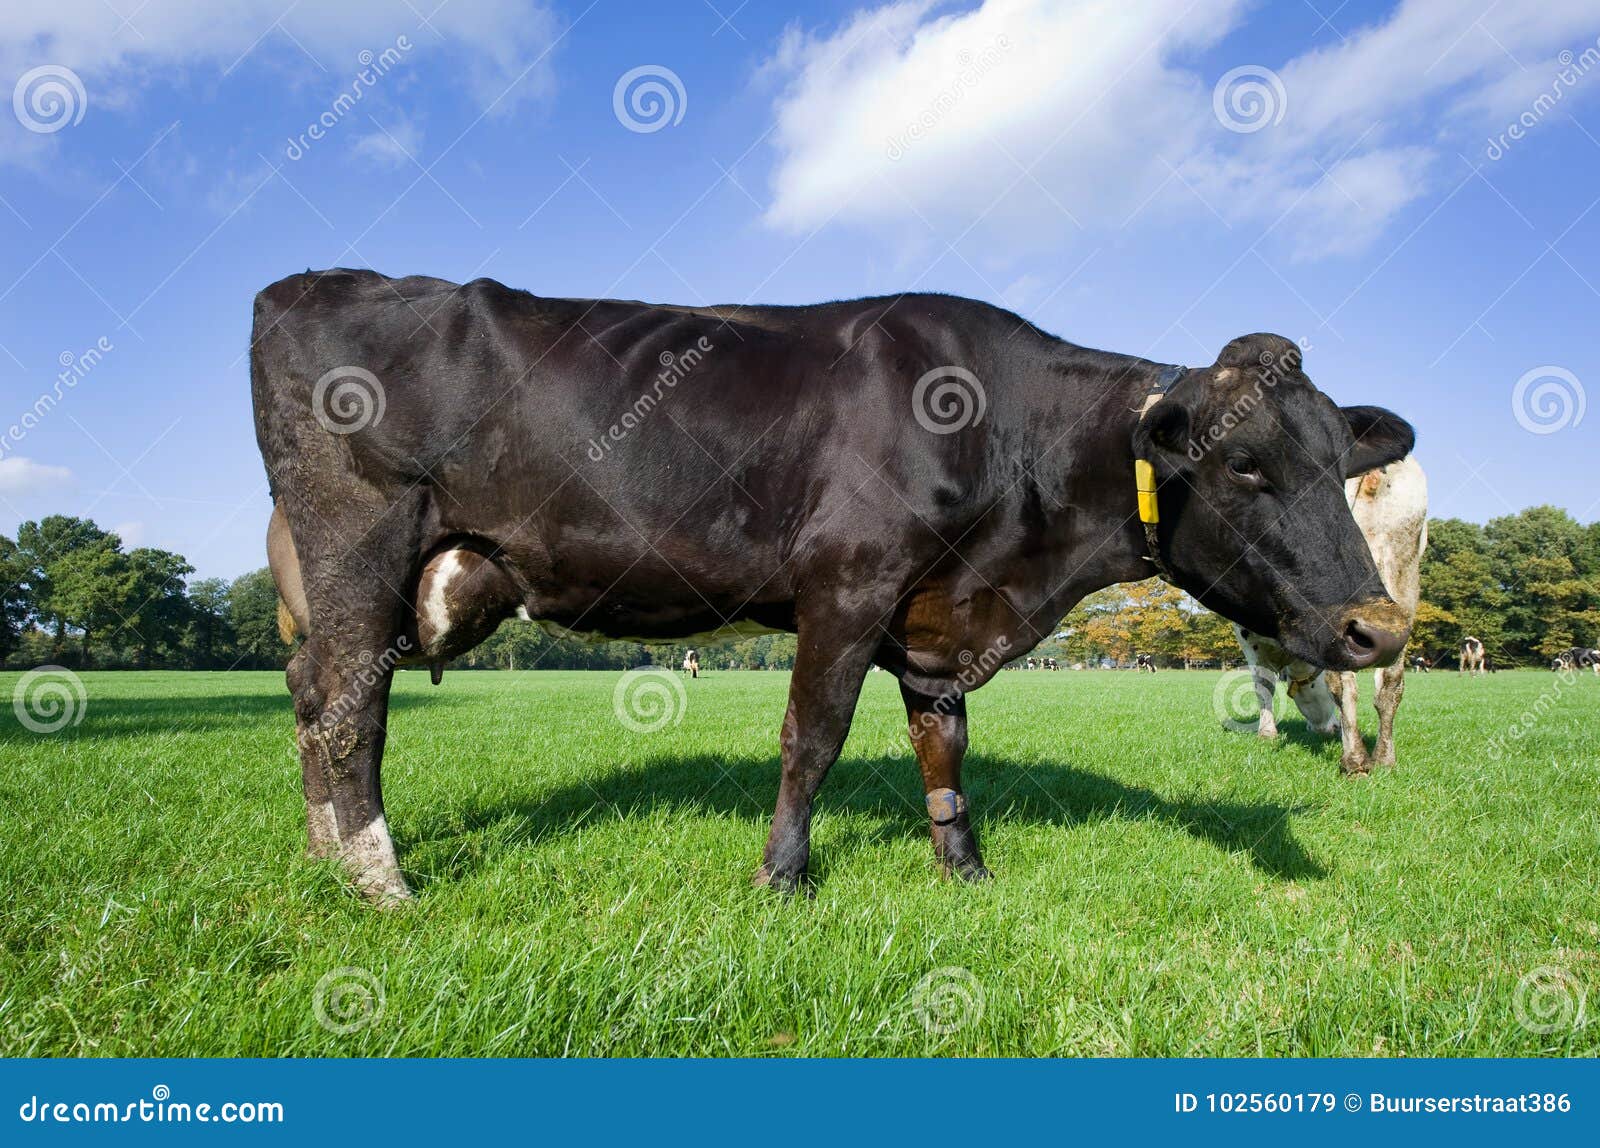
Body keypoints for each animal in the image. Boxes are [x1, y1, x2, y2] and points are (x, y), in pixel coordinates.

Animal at [1231, 457, 1427, 774]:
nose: (1331, 728)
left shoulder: (1247, 635)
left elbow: (1263, 684)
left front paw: (1266, 735)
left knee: (1344, 681)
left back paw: (1355, 760)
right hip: (1403, 568)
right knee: (1392, 679)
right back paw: (1384, 759)